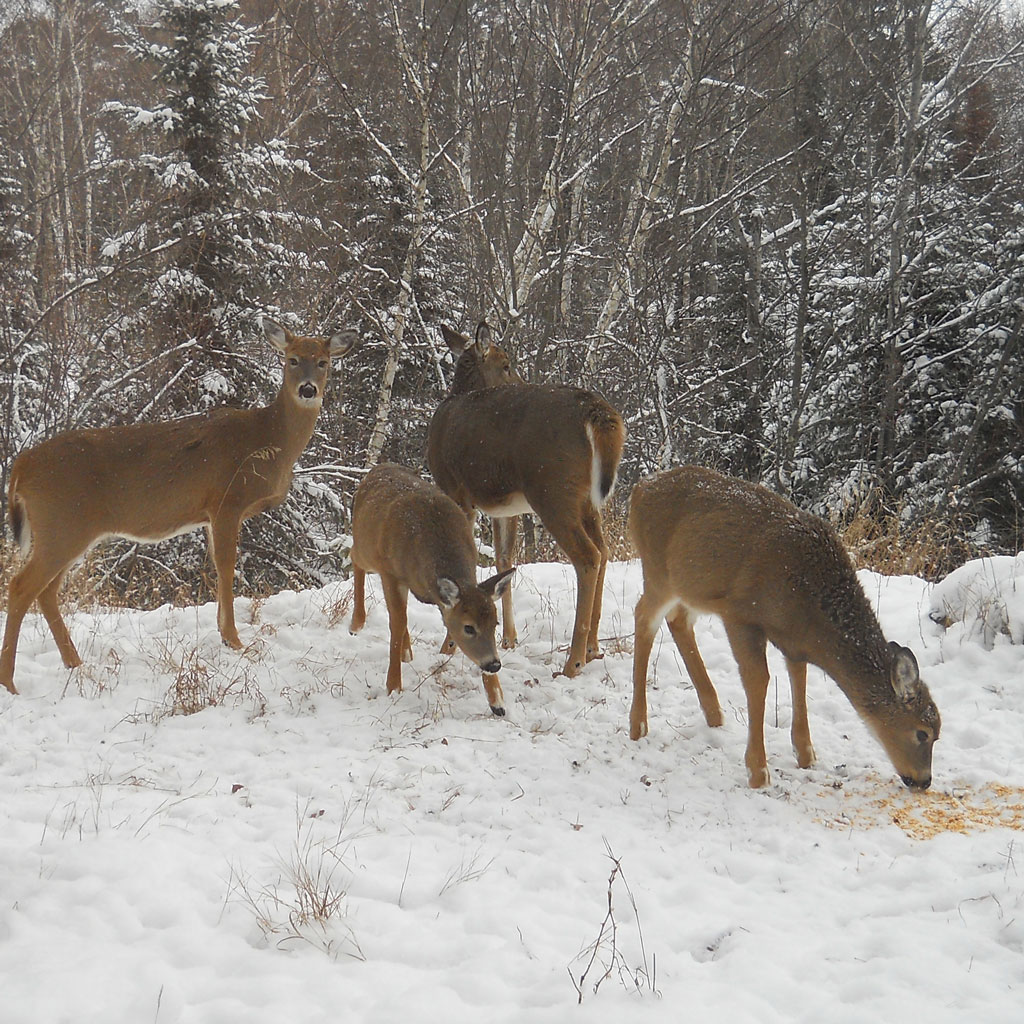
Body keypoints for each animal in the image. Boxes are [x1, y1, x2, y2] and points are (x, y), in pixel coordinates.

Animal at [0, 318, 358, 695]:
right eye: (292, 359)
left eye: (324, 361)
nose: (308, 390)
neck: (268, 439)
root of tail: (22, 465)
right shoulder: (227, 501)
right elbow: (227, 565)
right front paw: (235, 639)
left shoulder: (210, 514)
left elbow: (217, 564)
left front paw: (224, 634)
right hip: (62, 524)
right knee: (21, 586)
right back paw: (11, 682)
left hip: (69, 530)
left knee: (47, 591)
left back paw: (74, 663)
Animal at [348, 462, 514, 715]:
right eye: (468, 627)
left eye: (495, 623)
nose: (494, 664)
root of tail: (379, 467)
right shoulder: (391, 573)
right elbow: (397, 623)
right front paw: (393, 686)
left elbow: (400, 619)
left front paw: (497, 700)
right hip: (368, 549)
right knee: (353, 555)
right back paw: (356, 624)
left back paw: (407, 652)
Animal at [426, 323, 625, 679]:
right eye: (506, 365)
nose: (518, 381)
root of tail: (598, 412)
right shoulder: (503, 506)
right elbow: (504, 558)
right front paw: (509, 638)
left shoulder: (456, 490)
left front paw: (450, 645)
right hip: (587, 499)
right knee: (603, 550)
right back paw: (593, 648)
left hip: (553, 491)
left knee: (588, 556)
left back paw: (573, 662)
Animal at [628, 465, 941, 790]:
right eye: (923, 733)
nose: (924, 780)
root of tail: (640, 489)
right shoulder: (740, 614)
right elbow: (759, 681)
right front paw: (758, 771)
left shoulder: (794, 639)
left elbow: (798, 678)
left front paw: (805, 754)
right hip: (657, 572)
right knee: (644, 616)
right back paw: (638, 724)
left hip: (691, 587)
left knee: (677, 620)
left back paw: (714, 714)